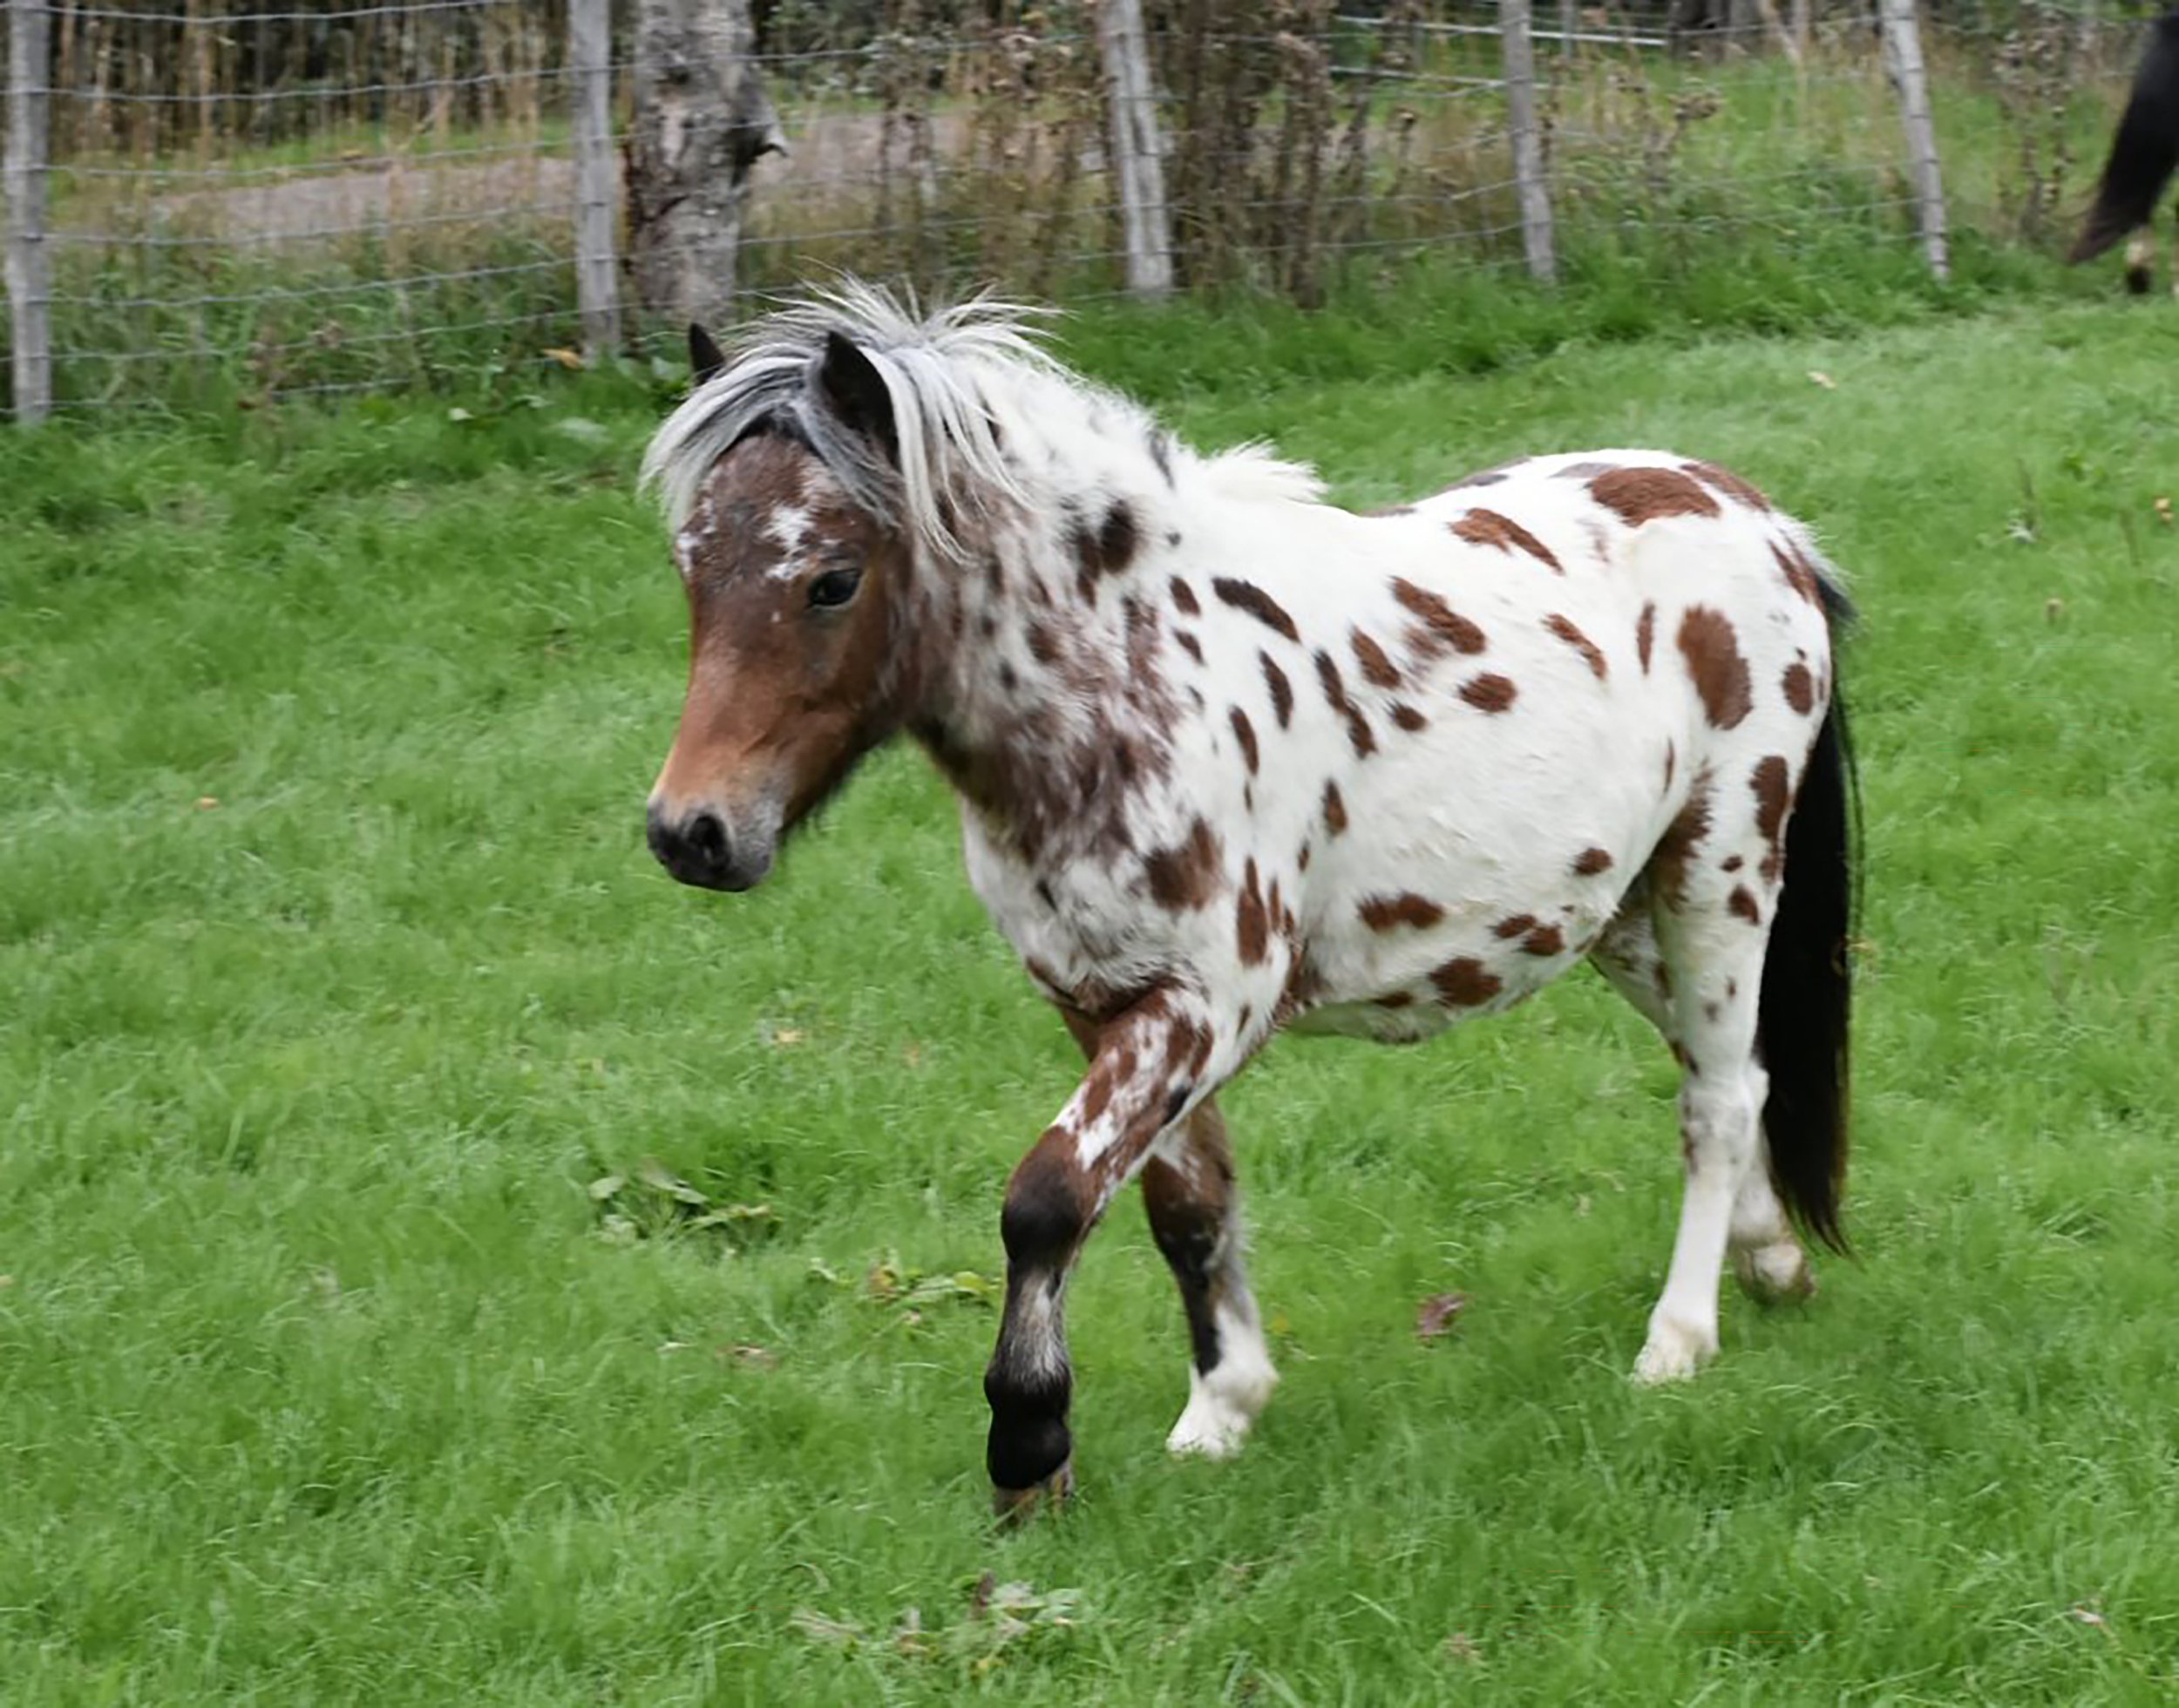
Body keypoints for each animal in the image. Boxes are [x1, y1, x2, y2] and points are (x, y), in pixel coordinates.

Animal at [640, 284, 1858, 1516]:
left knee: (1715, 1099)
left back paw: (1678, 1341)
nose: (691, 832)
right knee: (1742, 1066)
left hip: (1719, 870)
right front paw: (1218, 1411)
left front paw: (1028, 1444)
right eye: (688, 572)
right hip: (1609, 914)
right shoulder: (1099, 1000)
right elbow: (1182, 1210)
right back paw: (1773, 1261)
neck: (1132, 683)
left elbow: (1046, 1198)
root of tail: (1759, 518)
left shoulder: (1209, 1003)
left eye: (831, 579)